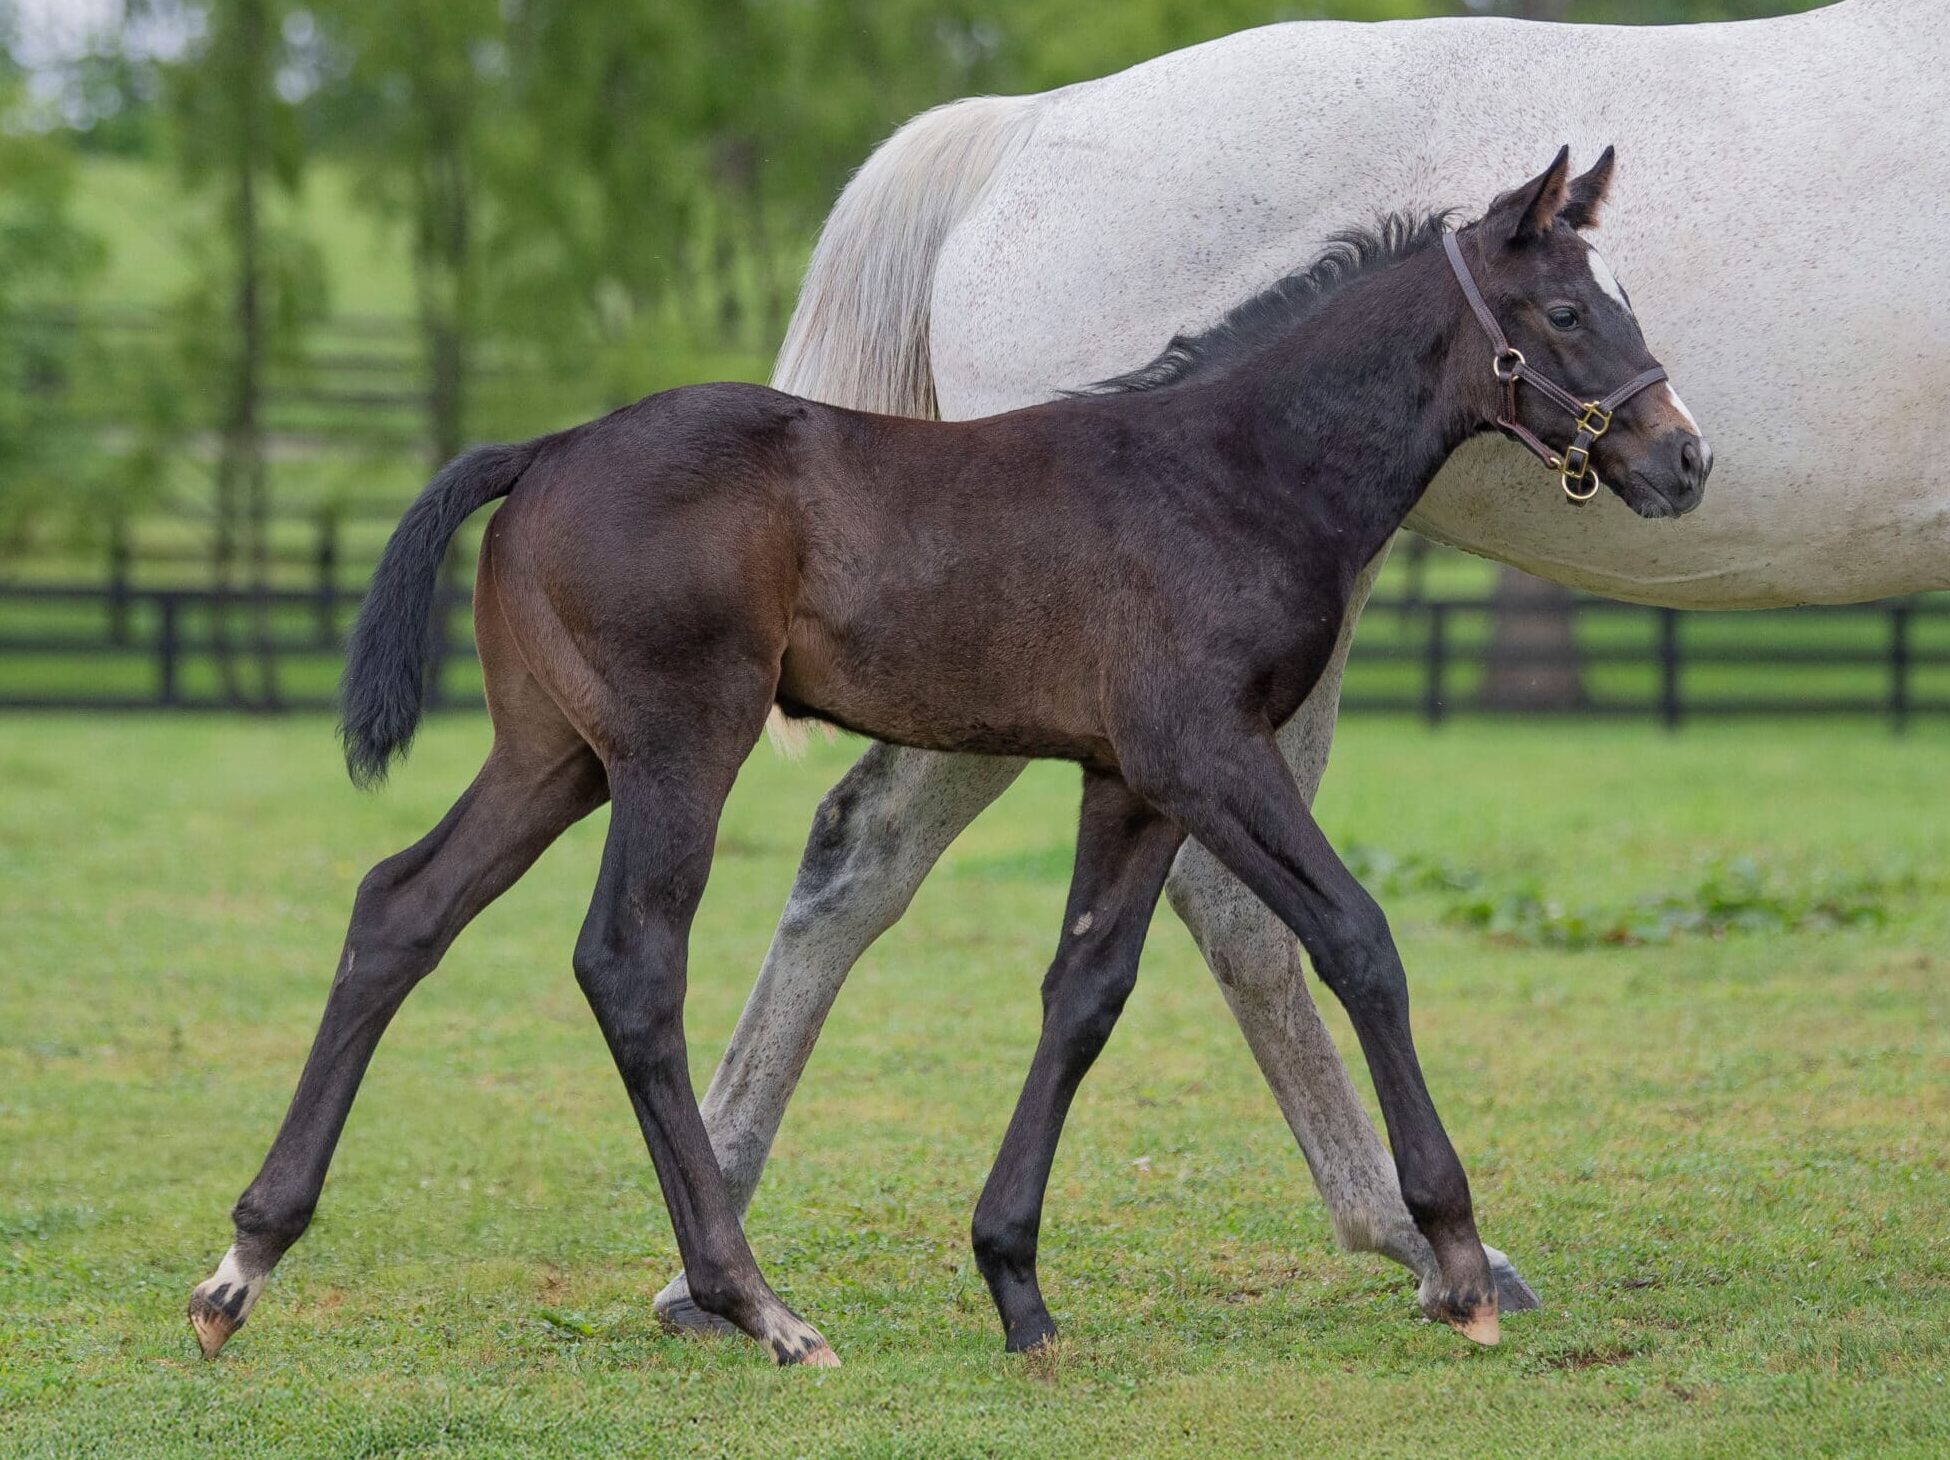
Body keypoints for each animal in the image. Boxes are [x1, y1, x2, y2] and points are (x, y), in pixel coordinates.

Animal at [188, 151, 1707, 1364]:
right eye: (1566, 311)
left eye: (1626, 297)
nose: (1682, 459)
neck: (1234, 466)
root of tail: (547, 445)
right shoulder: (1207, 751)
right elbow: (1357, 938)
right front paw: (1454, 1258)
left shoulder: (1128, 777)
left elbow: (1084, 992)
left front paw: (1016, 1286)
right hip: (679, 746)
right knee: (628, 961)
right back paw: (756, 1304)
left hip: (554, 753)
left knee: (401, 907)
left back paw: (241, 1263)